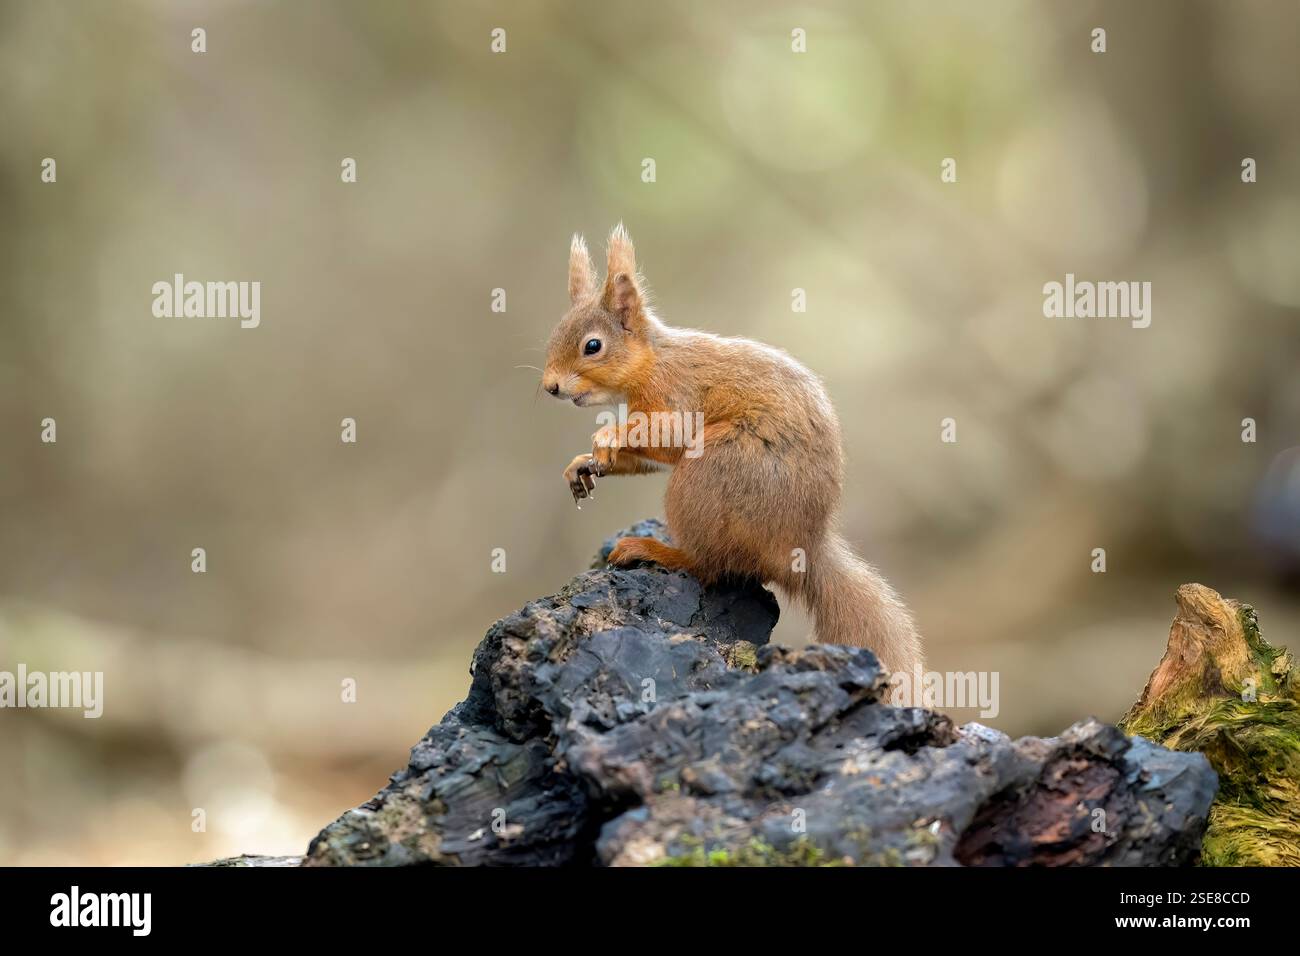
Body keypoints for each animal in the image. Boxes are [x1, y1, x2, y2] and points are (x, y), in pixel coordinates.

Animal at [541, 224, 924, 676]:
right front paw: (583, 465)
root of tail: (799, 548)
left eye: (593, 346)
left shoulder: (678, 397)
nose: (550, 387)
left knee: (709, 567)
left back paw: (656, 551)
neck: (653, 362)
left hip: (711, 474)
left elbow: (670, 436)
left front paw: (605, 439)